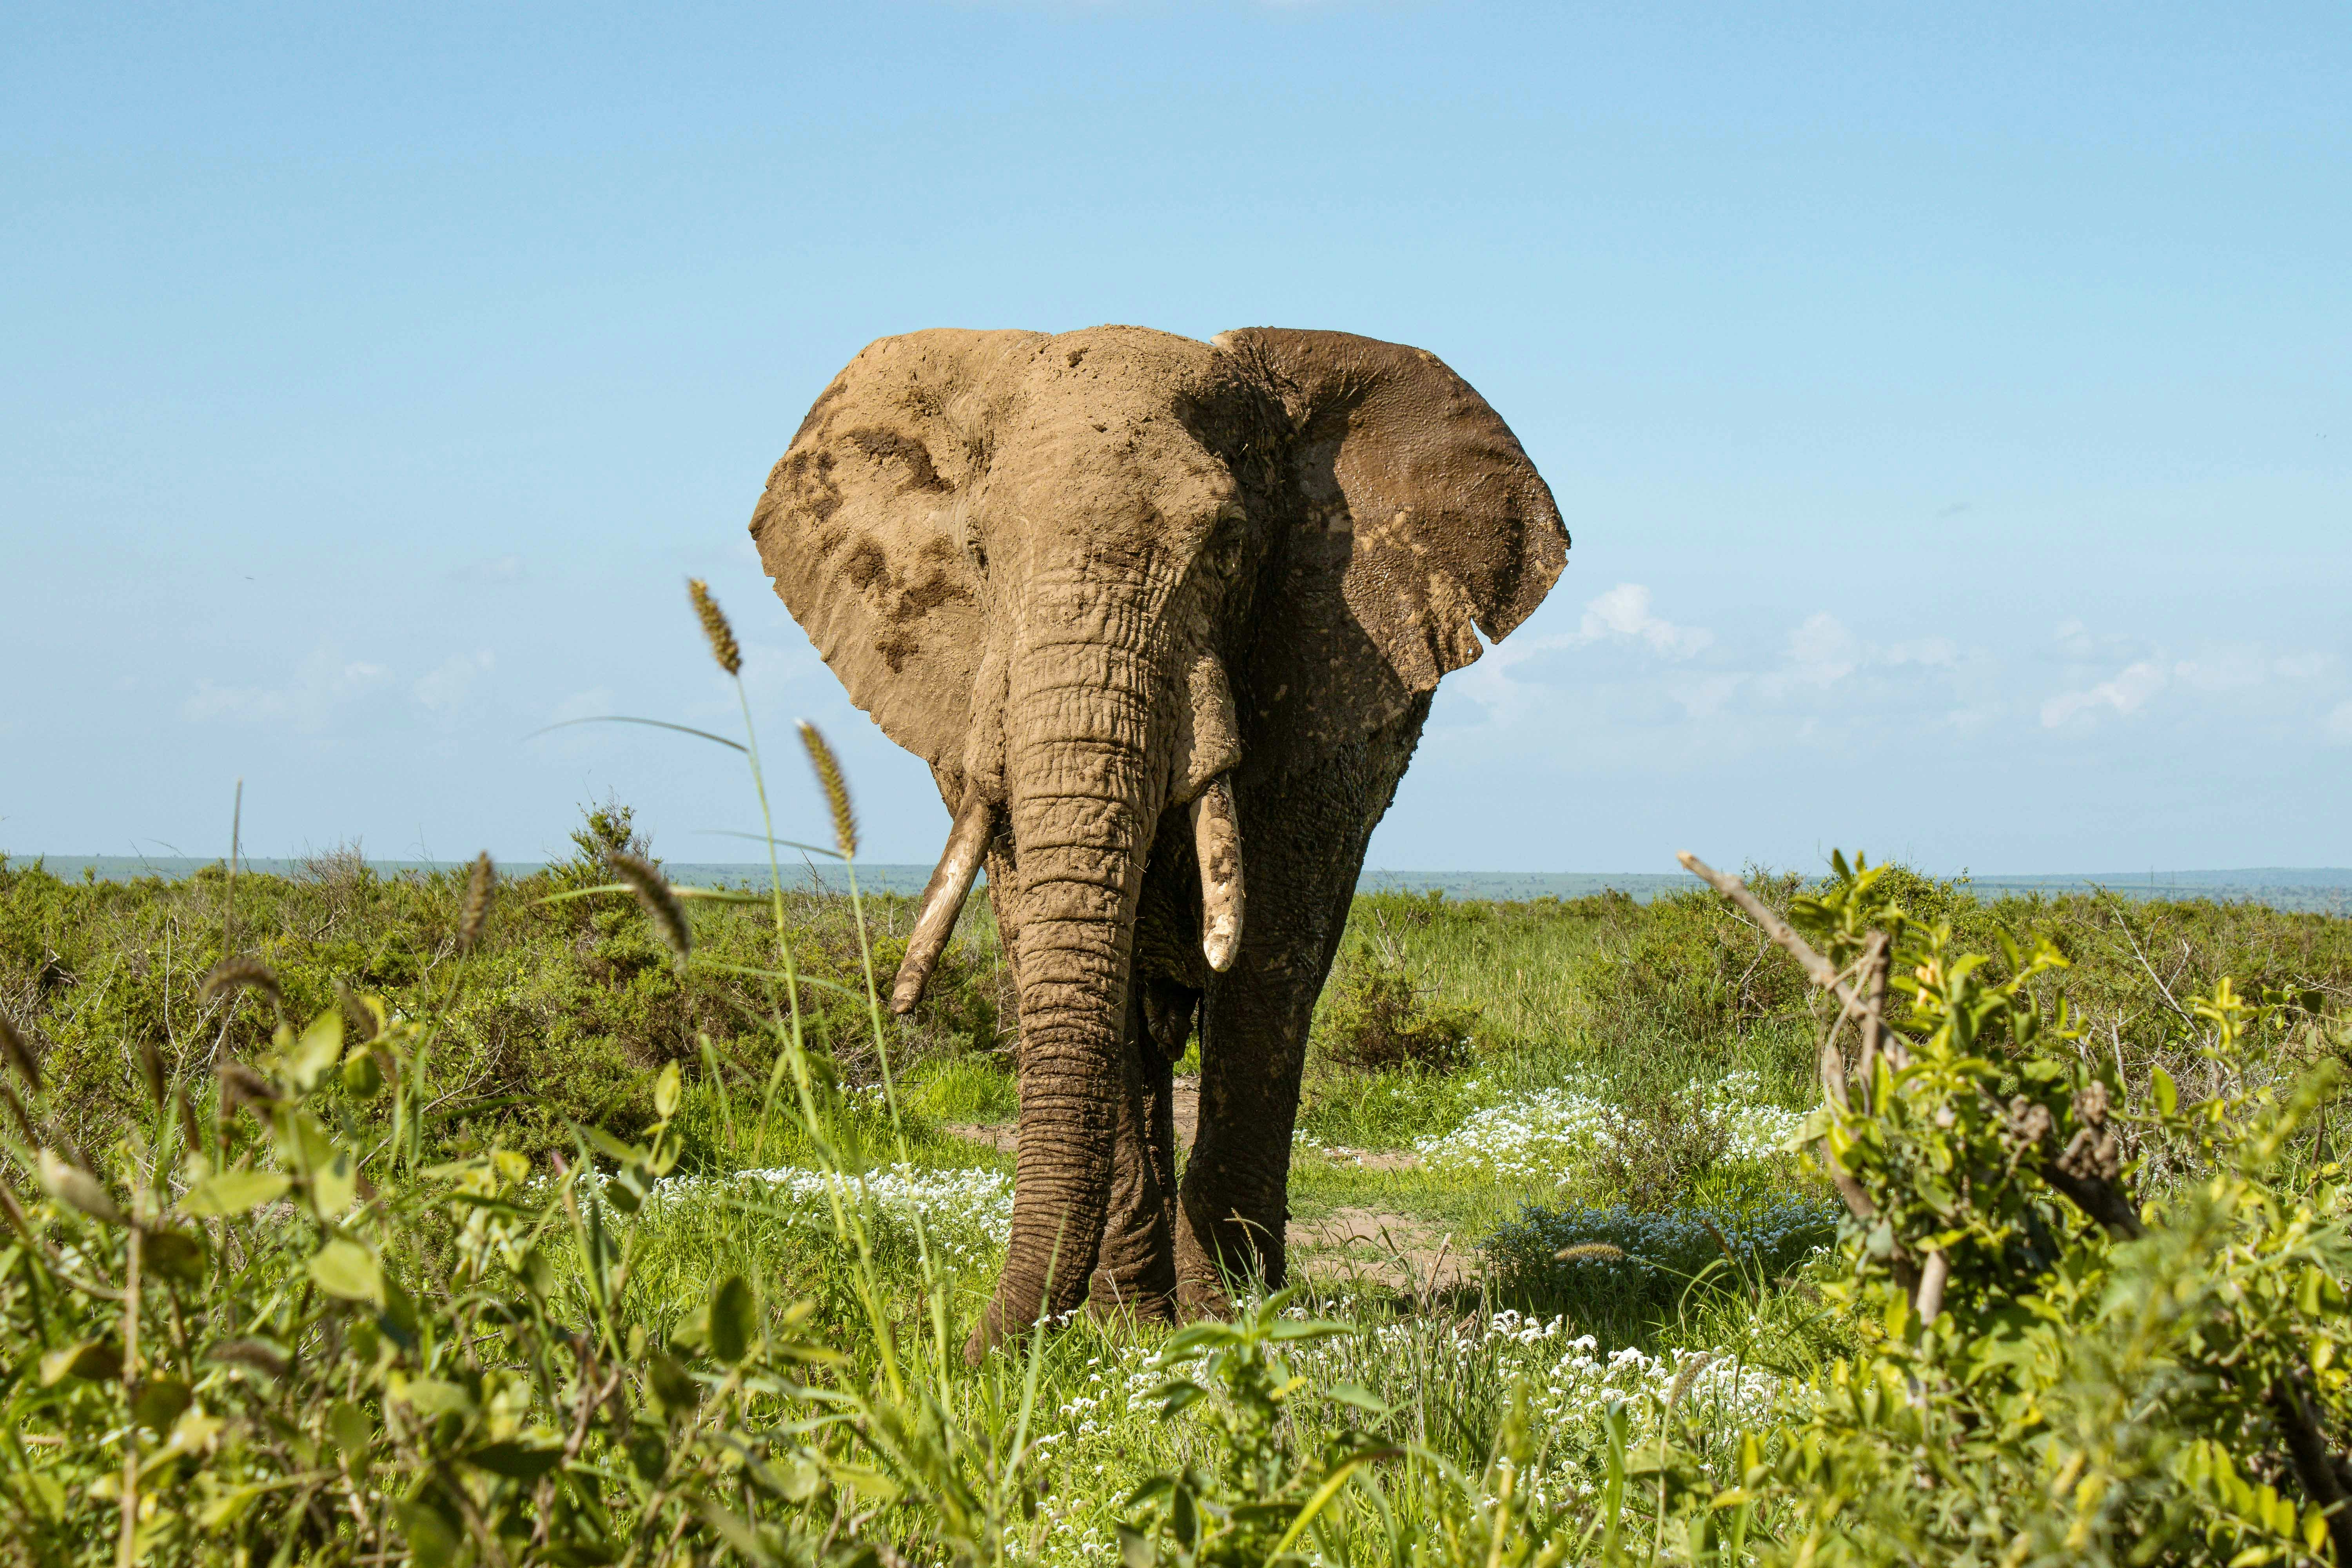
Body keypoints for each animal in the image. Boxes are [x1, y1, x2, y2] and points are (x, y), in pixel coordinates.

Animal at [749, 325, 1567, 1358]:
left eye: (1227, 546)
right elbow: (1054, 947)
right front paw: (1127, 1329)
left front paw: (1232, 1323)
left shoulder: (1323, 684)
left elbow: (1266, 971)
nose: (966, 1353)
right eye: (979, 553)